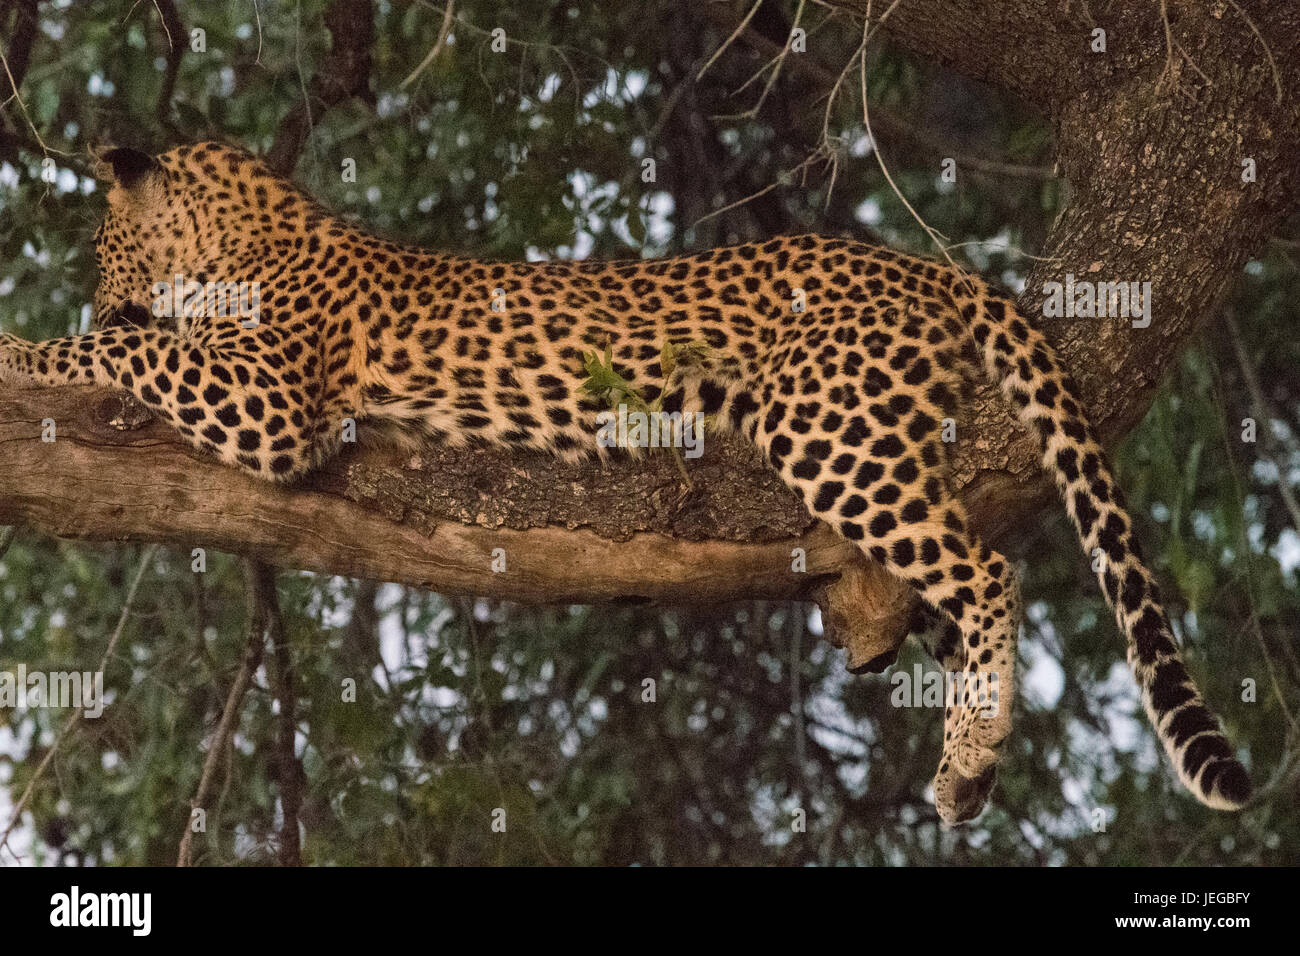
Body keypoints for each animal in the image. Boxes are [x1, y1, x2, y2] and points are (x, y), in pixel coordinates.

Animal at [0, 141, 1251, 823]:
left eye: (104, 246)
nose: (97, 280)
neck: (255, 234)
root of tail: (915, 261)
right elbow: (132, 347)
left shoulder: (270, 398)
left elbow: (115, 351)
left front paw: (25, 345)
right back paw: (960, 770)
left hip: (827, 428)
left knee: (989, 568)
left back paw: (973, 754)